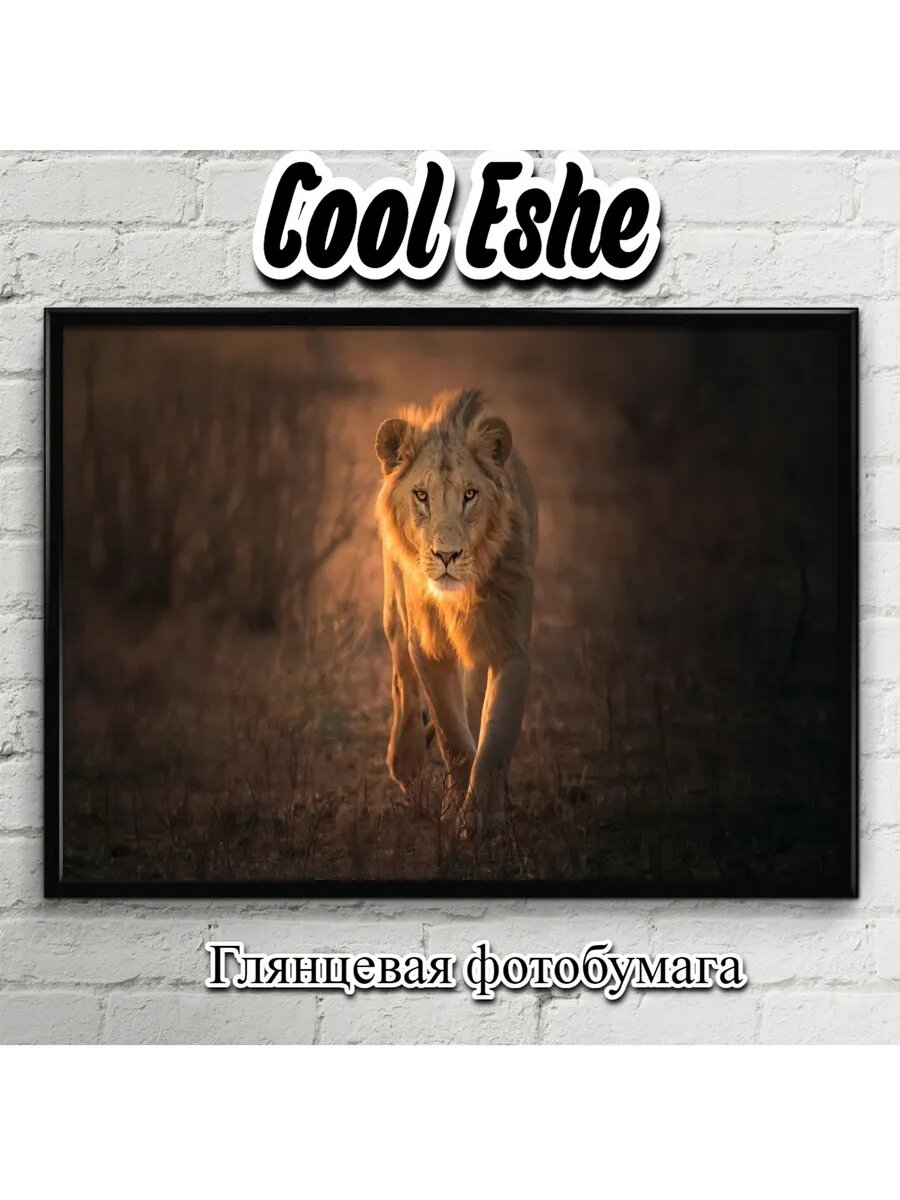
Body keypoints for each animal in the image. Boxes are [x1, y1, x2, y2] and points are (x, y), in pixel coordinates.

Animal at [375, 388, 538, 835]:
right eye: (421, 495)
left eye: (470, 495)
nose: (446, 555)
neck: (460, 597)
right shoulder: (428, 648)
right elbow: (454, 737)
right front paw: (455, 811)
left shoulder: (511, 644)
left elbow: (494, 736)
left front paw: (483, 816)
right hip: (395, 610)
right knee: (402, 679)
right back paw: (406, 760)